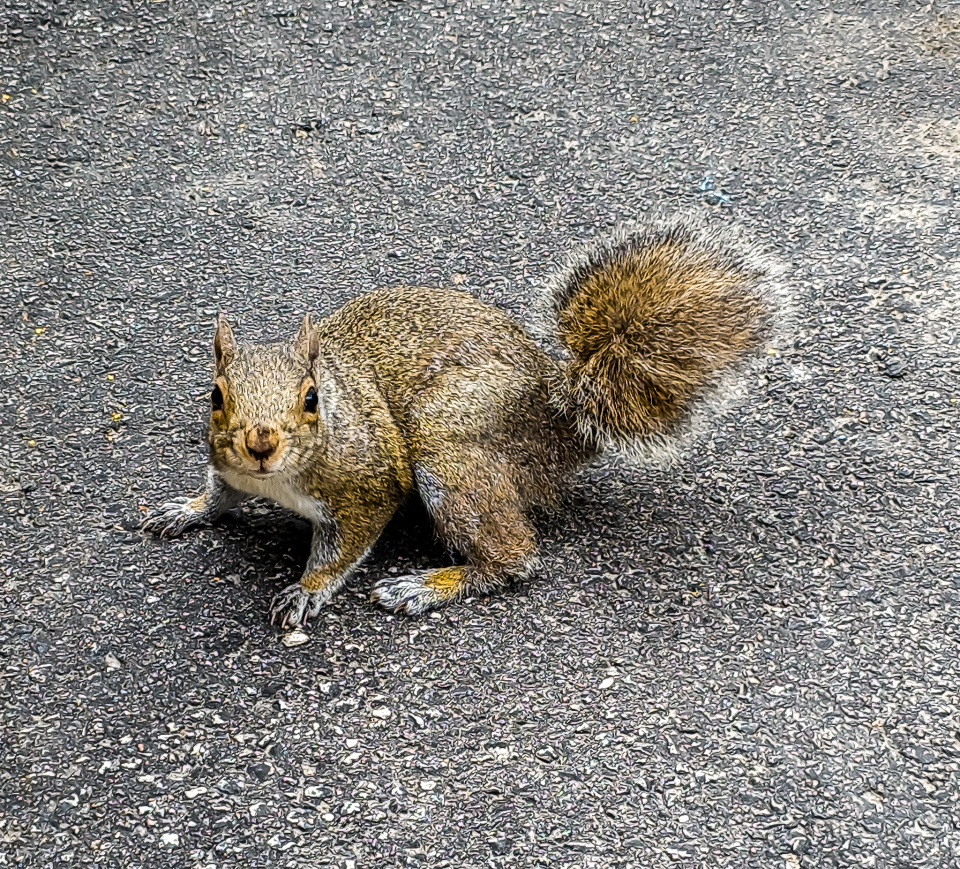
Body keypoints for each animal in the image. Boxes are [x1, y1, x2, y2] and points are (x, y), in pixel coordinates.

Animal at [142, 214, 785, 629]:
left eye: (311, 399)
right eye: (216, 395)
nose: (260, 443)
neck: (278, 480)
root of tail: (558, 417)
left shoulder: (369, 483)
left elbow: (342, 549)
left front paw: (306, 589)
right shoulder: (228, 466)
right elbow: (220, 491)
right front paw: (187, 509)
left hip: (448, 449)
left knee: (514, 557)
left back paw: (428, 585)